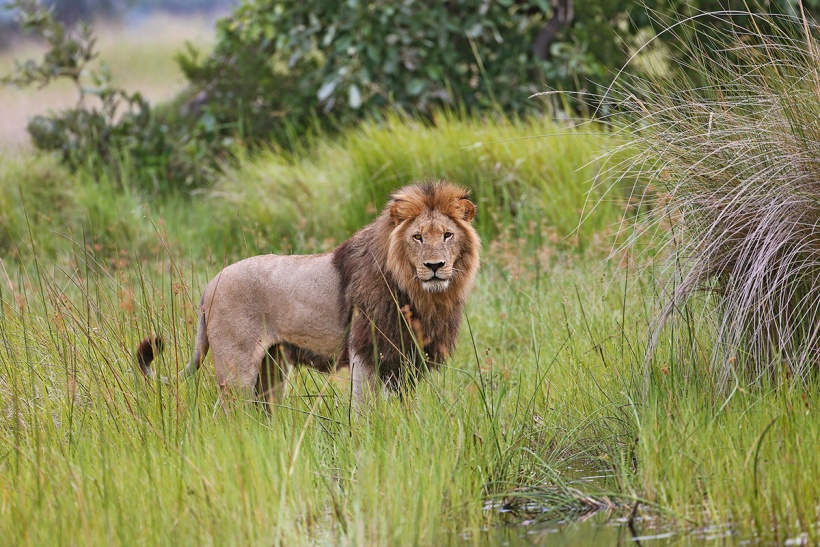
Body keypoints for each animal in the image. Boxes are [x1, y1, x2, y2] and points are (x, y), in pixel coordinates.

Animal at [135, 182, 480, 404]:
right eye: (418, 237)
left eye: (447, 235)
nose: (434, 266)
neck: (421, 293)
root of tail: (209, 286)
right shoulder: (365, 348)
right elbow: (364, 408)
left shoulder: (406, 356)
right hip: (237, 369)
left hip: (272, 369)